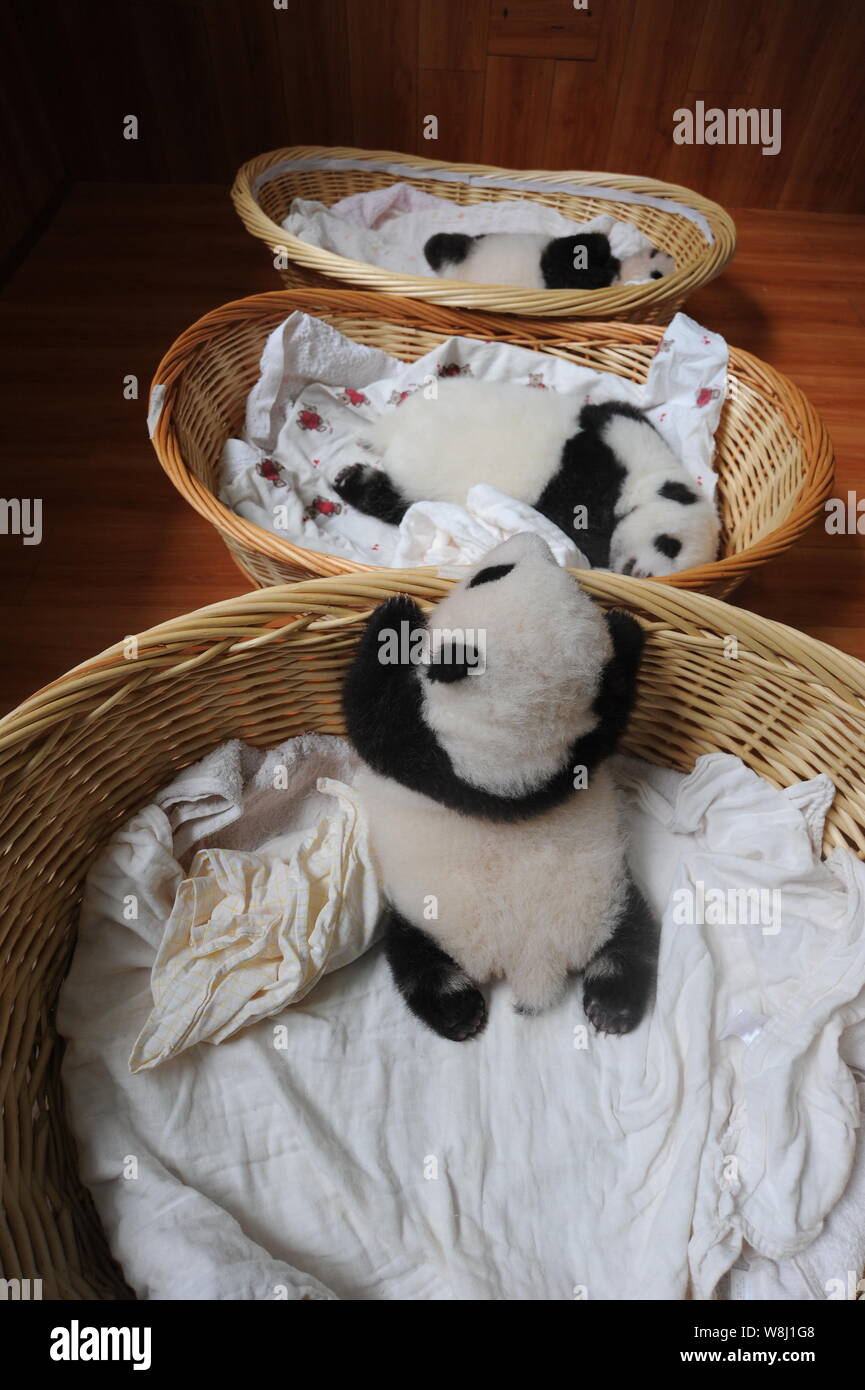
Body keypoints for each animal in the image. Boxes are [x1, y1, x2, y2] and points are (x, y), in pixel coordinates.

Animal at [333, 381, 720, 579]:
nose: (643, 574)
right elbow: (577, 518)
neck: (649, 474)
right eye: (670, 544)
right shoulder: (610, 439)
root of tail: (393, 435)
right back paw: (350, 479)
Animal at [343, 532, 660, 1042]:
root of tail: (531, 964)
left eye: (491, 574)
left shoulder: (427, 750)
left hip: (434, 919)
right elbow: (611, 712)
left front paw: (395, 613)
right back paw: (613, 1001)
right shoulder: (575, 756)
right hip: (613, 896)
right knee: (633, 939)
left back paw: (458, 1010)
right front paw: (625, 631)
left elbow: (367, 713)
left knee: (416, 961)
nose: (532, 538)